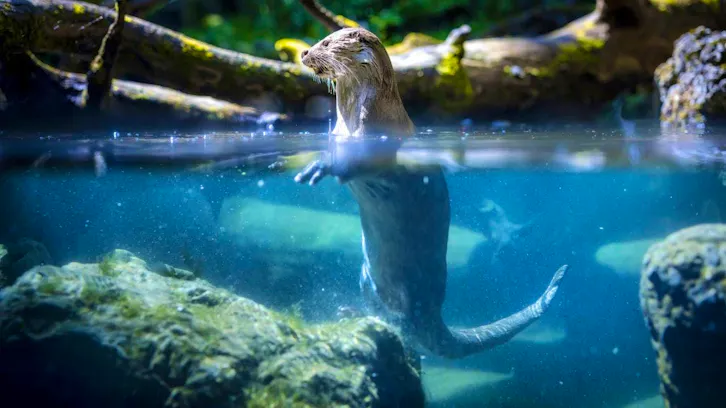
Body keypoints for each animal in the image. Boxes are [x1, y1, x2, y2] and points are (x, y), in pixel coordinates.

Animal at [294, 27, 567, 359]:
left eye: (326, 43)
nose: (304, 53)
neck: (357, 117)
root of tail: (434, 313)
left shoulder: (374, 143)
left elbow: (353, 165)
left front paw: (318, 166)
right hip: (365, 275)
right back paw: (351, 313)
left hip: (408, 283)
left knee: (404, 320)